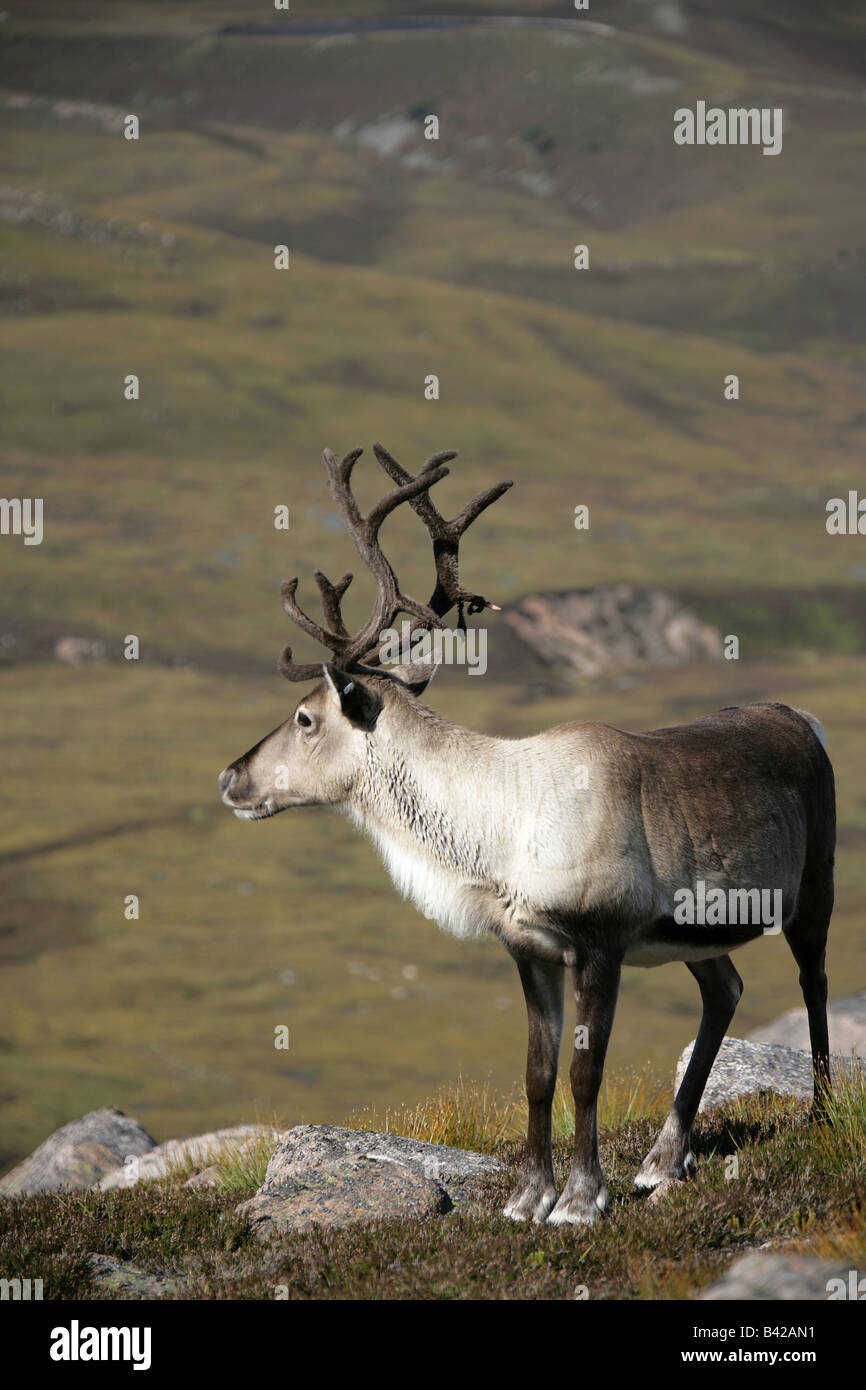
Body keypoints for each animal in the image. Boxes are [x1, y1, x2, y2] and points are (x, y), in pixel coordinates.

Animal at [219, 444, 835, 1225]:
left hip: (814, 886)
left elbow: (584, 1071)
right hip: (695, 932)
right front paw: (527, 1198)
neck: (497, 832)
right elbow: (537, 1074)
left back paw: (821, 1117)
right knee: (725, 988)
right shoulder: (528, 947)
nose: (230, 777)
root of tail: (802, 718)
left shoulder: (600, 943)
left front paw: (579, 1199)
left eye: (304, 718)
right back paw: (664, 1160)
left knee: (813, 981)